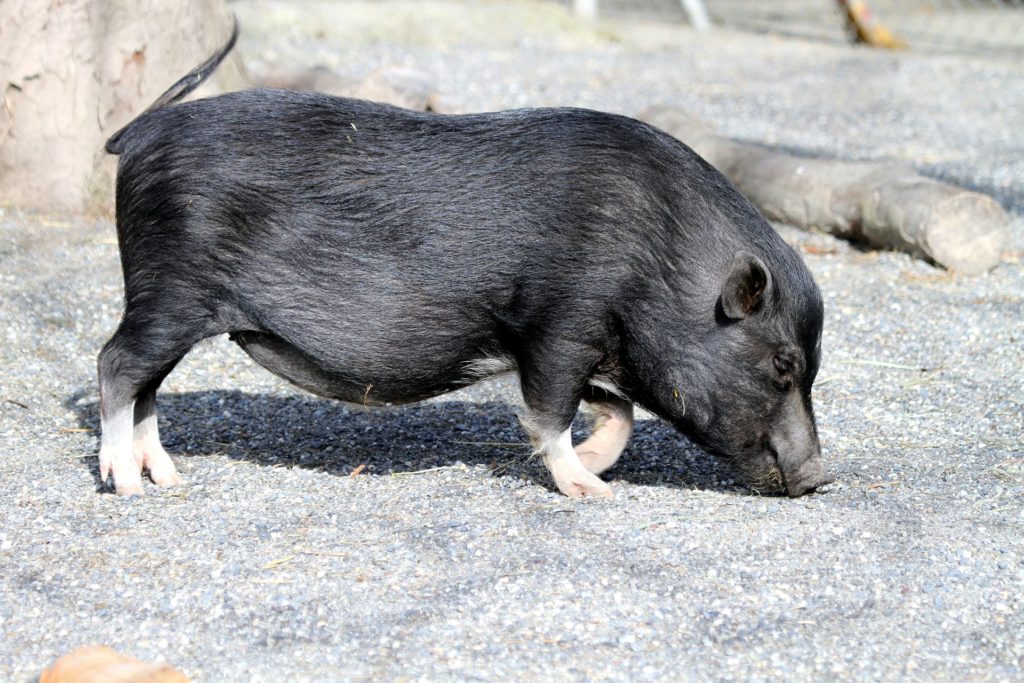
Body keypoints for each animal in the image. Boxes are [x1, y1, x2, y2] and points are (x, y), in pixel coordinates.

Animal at [97, 23, 831, 498]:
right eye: (783, 365)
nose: (820, 478)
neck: (661, 261)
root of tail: (141, 132)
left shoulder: (563, 345)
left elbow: (614, 409)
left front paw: (598, 465)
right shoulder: (559, 326)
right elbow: (552, 413)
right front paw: (591, 489)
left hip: (173, 302)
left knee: (147, 385)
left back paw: (169, 476)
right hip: (169, 288)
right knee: (117, 364)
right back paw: (126, 485)